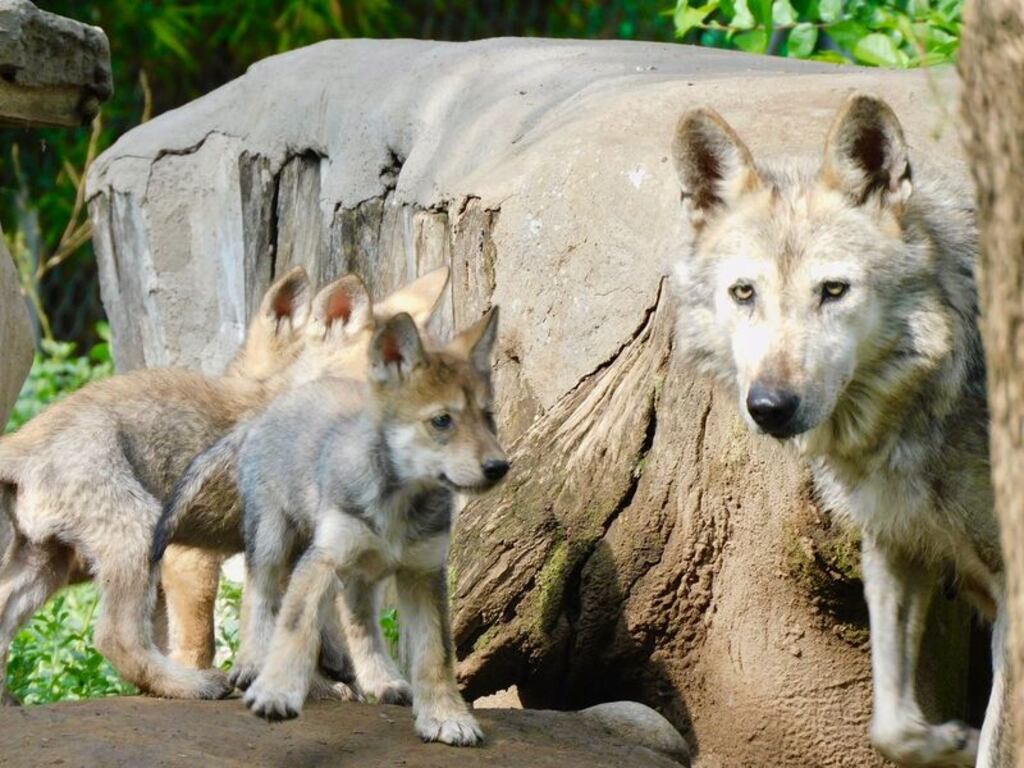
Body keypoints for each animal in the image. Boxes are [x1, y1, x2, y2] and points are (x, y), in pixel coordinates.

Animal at [0, 266, 449, 703]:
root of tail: (23, 438)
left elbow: (317, 622)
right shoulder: (238, 549)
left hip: (46, 562)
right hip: (136, 532)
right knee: (116, 638)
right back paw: (192, 685)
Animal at [226, 309, 506, 746]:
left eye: (488, 417)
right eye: (442, 421)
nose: (499, 467)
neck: (399, 500)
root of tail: (280, 401)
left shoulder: (423, 572)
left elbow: (436, 654)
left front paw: (446, 716)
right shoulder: (324, 558)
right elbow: (294, 626)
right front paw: (276, 691)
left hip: (363, 574)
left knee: (359, 623)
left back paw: (382, 680)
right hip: (273, 537)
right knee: (261, 593)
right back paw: (251, 664)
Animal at [671, 93, 1007, 767]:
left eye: (833, 290)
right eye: (743, 292)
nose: (770, 406)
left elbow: (1001, 742)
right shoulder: (898, 545)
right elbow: (892, 728)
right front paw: (949, 740)